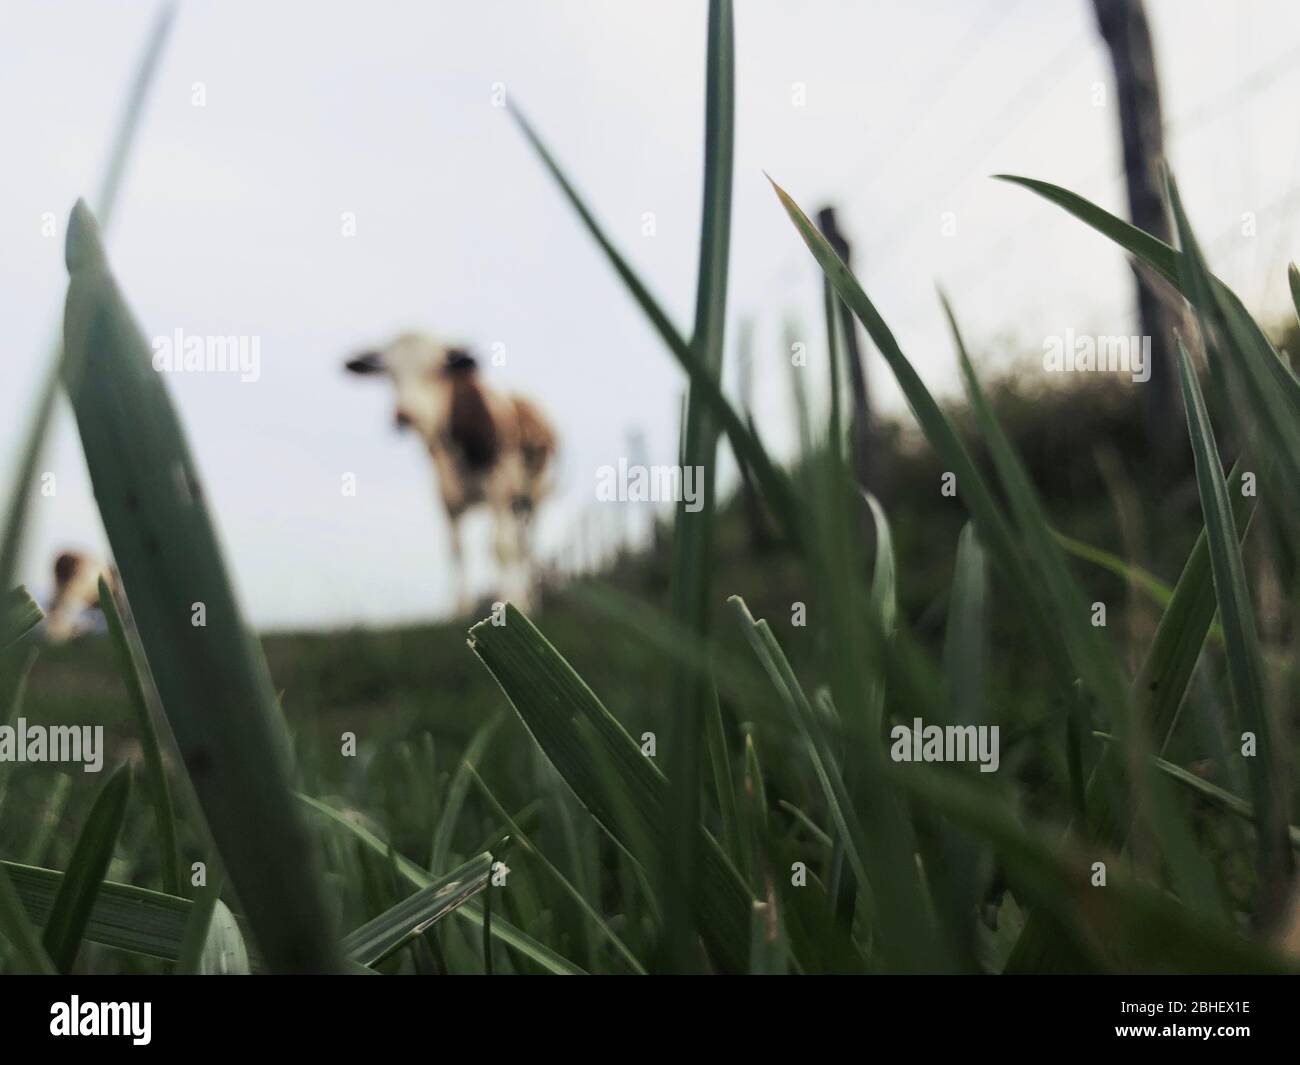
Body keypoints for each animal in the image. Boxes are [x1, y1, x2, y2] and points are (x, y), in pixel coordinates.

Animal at [344, 333, 556, 614]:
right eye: (390, 373)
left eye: (436, 370)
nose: (405, 414)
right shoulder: (446, 497)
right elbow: (456, 550)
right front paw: (460, 609)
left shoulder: (498, 486)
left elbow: (501, 549)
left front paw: (505, 604)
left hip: (531, 496)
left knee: (523, 547)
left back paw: (528, 600)